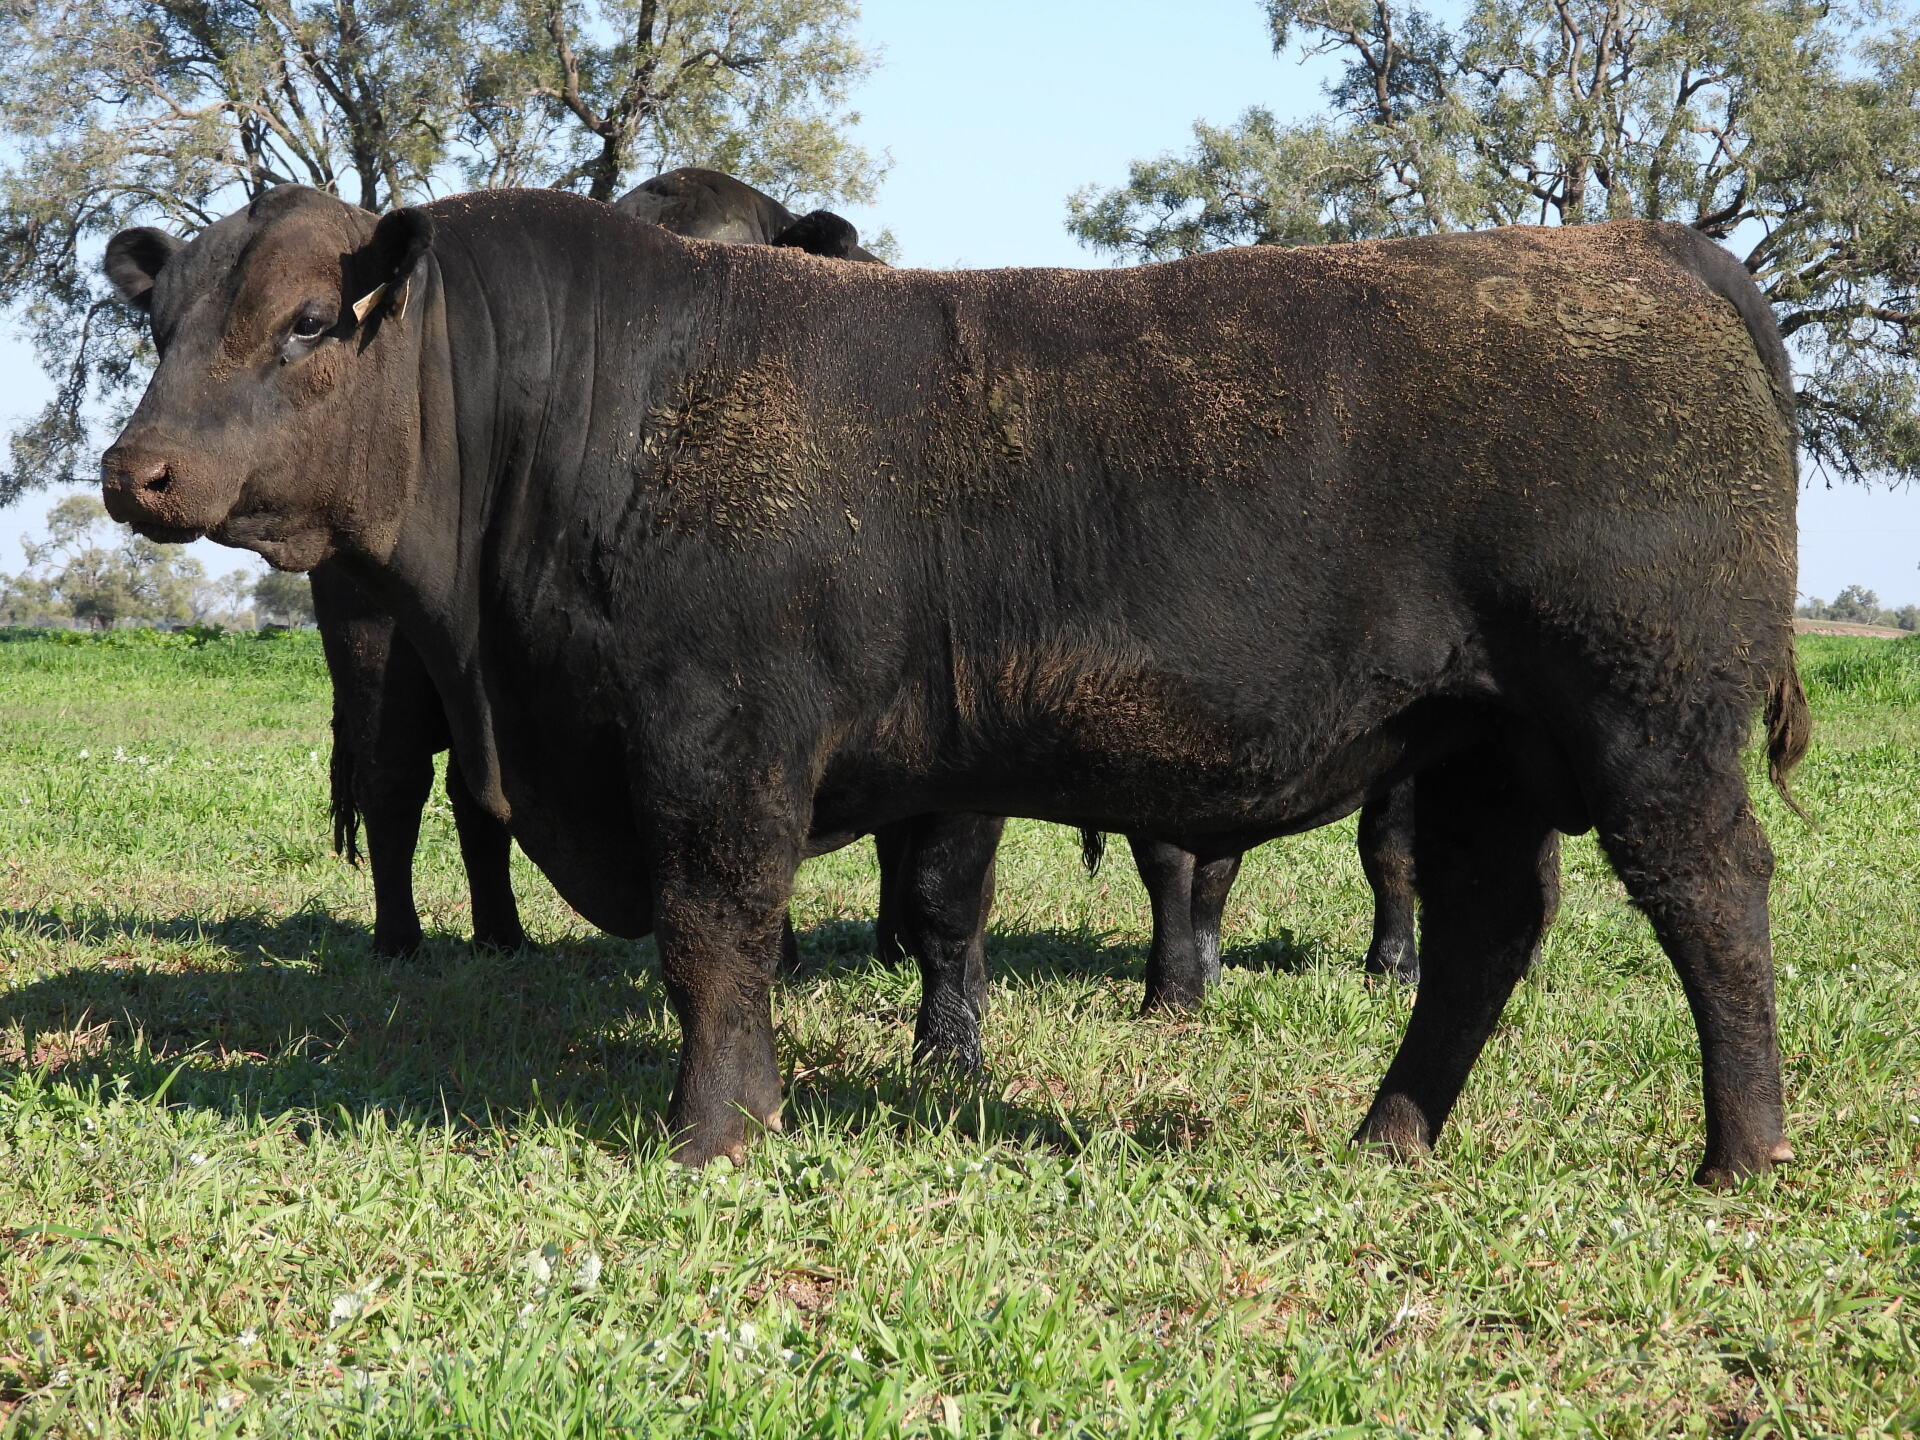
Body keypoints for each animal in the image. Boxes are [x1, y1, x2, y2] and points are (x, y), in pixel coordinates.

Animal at [99, 186, 1807, 1185]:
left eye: (305, 321)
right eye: (161, 319)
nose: (136, 470)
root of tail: (1634, 246)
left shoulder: (720, 742)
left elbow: (720, 938)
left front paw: (713, 1131)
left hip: (1651, 722)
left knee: (1713, 906)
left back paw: (1741, 1155)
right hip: (1478, 746)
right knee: (1484, 930)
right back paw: (1390, 1134)